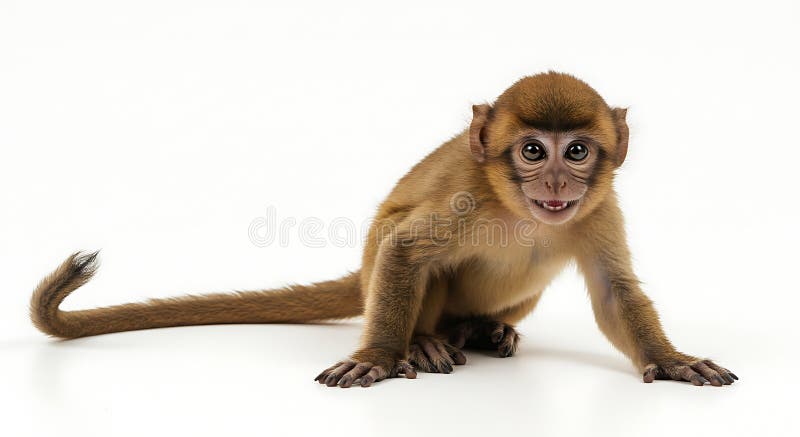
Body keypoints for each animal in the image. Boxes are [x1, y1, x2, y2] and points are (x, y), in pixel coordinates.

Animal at [30, 71, 737, 388]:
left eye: (579, 151)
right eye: (534, 151)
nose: (558, 184)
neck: (519, 210)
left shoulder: (602, 210)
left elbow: (616, 292)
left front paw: (671, 359)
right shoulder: (467, 198)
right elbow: (407, 245)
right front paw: (379, 354)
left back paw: (482, 329)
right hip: (379, 276)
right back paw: (425, 340)